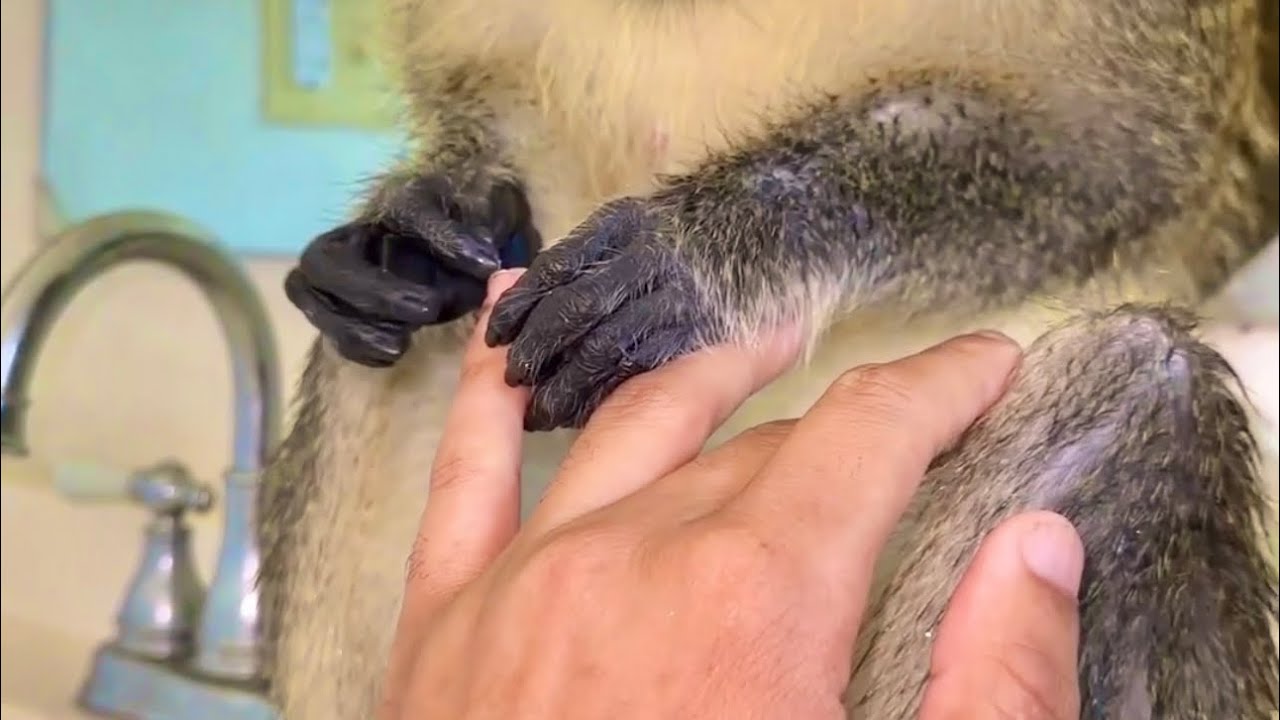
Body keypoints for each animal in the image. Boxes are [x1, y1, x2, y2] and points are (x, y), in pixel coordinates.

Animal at [258, 0, 1280, 718]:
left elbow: (1119, 144)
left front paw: (706, 243)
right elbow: (493, 114)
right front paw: (427, 214)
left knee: (1145, 386)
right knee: (384, 365)